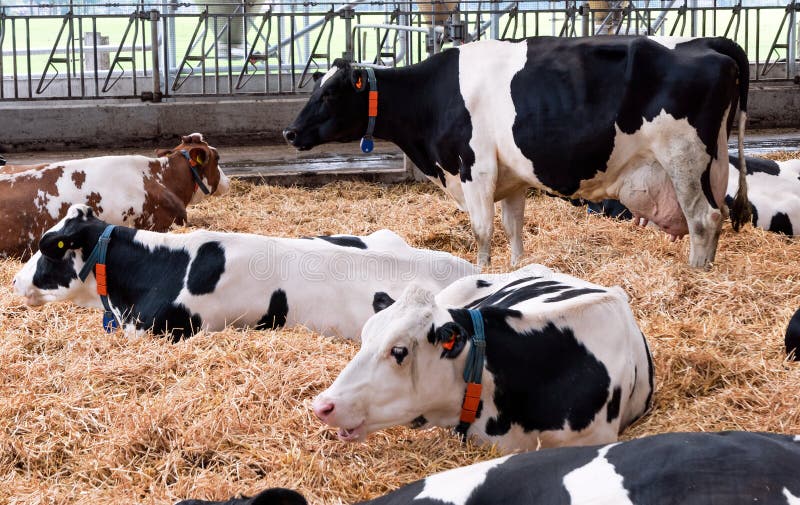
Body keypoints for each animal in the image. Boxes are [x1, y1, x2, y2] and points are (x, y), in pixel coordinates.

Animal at [283, 36, 751, 269]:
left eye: (330, 95)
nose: (290, 131)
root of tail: (709, 43)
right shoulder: (510, 180)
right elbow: (514, 231)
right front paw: (515, 271)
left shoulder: (474, 169)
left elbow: (482, 232)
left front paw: (481, 272)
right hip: (712, 164)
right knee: (719, 214)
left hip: (683, 157)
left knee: (703, 219)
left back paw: (695, 273)